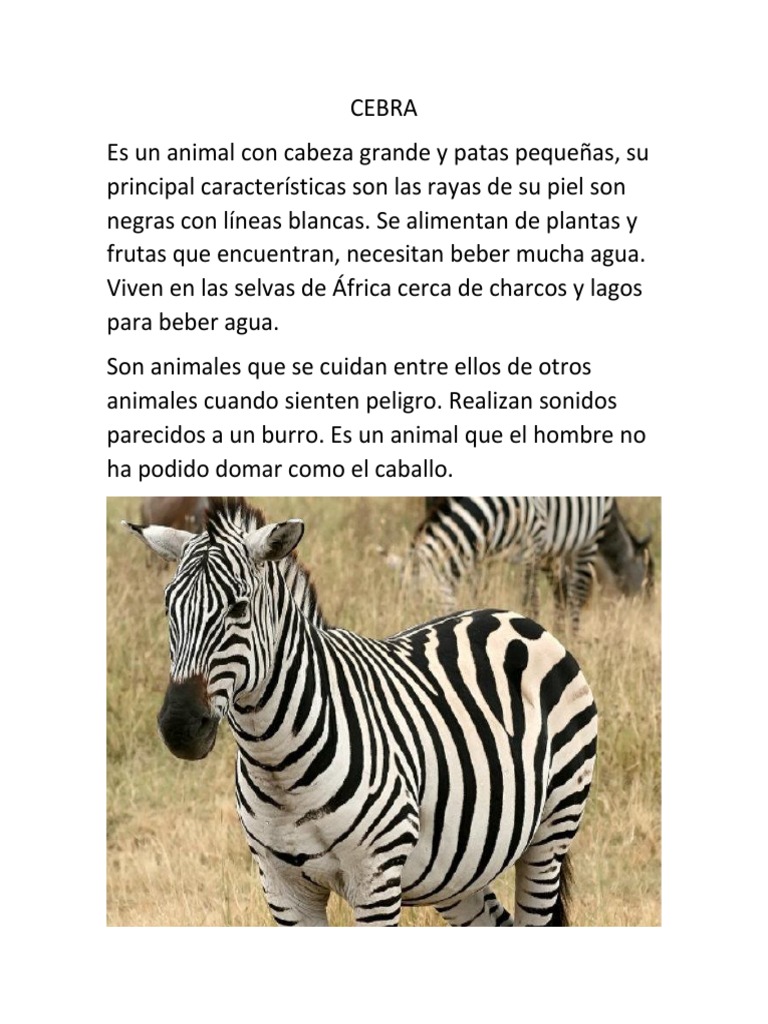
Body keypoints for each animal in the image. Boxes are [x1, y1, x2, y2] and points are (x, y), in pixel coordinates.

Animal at [124, 497, 598, 927]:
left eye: (238, 608)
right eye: (168, 607)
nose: (180, 727)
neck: (276, 763)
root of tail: (514, 618)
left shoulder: (376, 880)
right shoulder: (282, 890)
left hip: (552, 828)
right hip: (459, 868)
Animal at [397, 497, 653, 633]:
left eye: (424, 603)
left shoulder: (534, 540)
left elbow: (530, 599)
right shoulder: (482, 552)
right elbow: (478, 592)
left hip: (586, 538)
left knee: (576, 593)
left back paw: (573, 636)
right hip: (553, 552)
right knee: (561, 590)